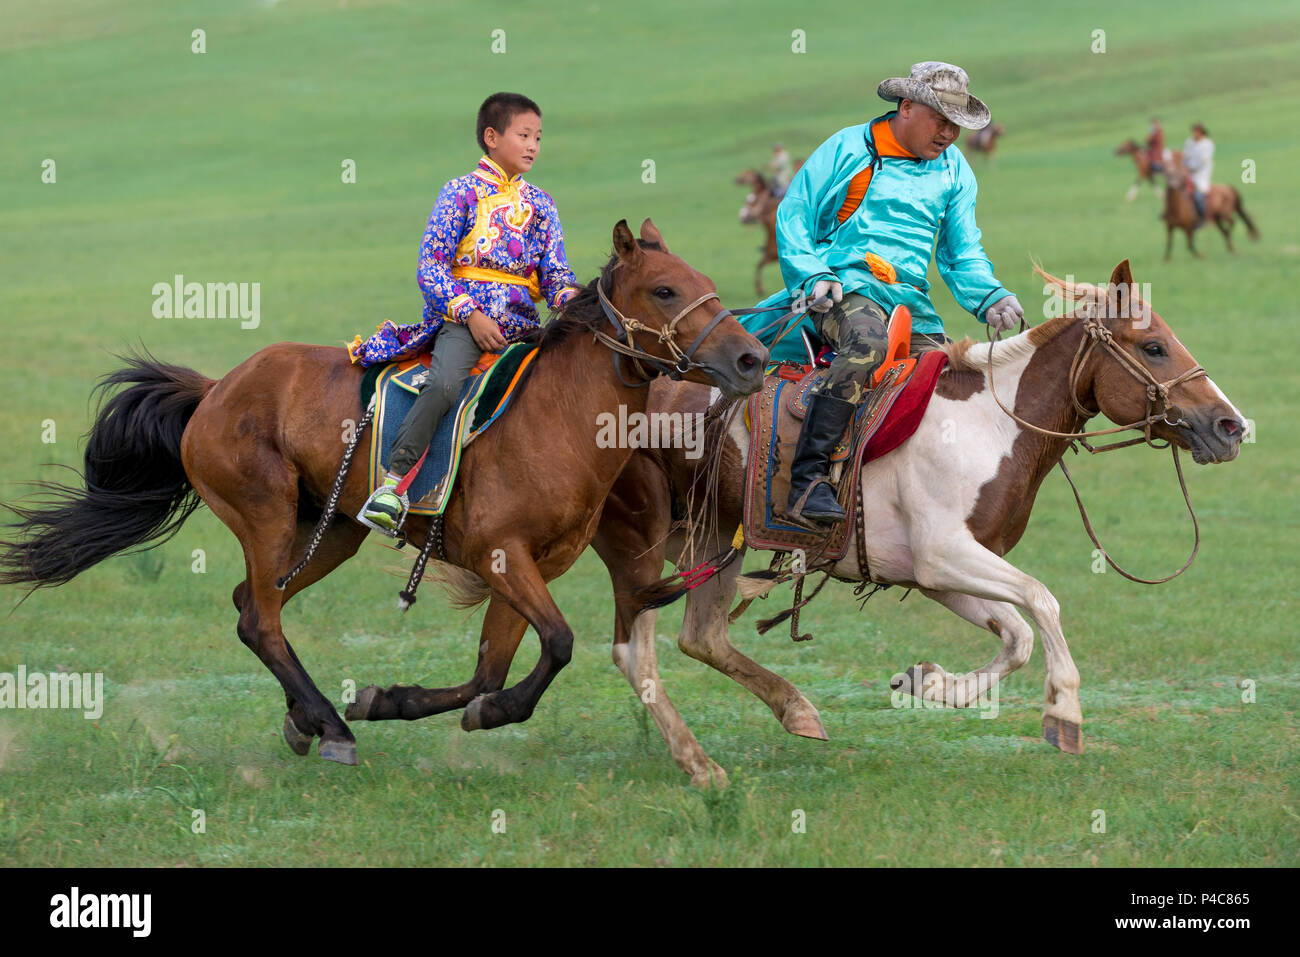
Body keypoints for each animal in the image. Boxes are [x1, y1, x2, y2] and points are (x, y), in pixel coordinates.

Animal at [0, 219, 767, 769]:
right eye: (665, 290)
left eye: (702, 281)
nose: (751, 359)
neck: (559, 418)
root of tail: (214, 390)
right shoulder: (501, 556)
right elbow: (556, 644)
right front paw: (414, 708)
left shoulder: (529, 567)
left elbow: (489, 674)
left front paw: (393, 699)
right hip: (265, 514)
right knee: (262, 619)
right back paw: (331, 726)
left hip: (330, 530)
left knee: (251, 605)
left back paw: (307, 718)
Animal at [584, 259, 1246, 784]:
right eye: (1153, 346)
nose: (1231, 426)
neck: (990, 425)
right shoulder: (944, 553)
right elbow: (1042, 601)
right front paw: (1065, 713)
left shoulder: (936, 573)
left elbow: (1019, 635)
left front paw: (927, 683)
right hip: (644, 545)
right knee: (636, 653)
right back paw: (702, 763)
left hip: (713, 539)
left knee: (702, 637)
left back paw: (795, 712)